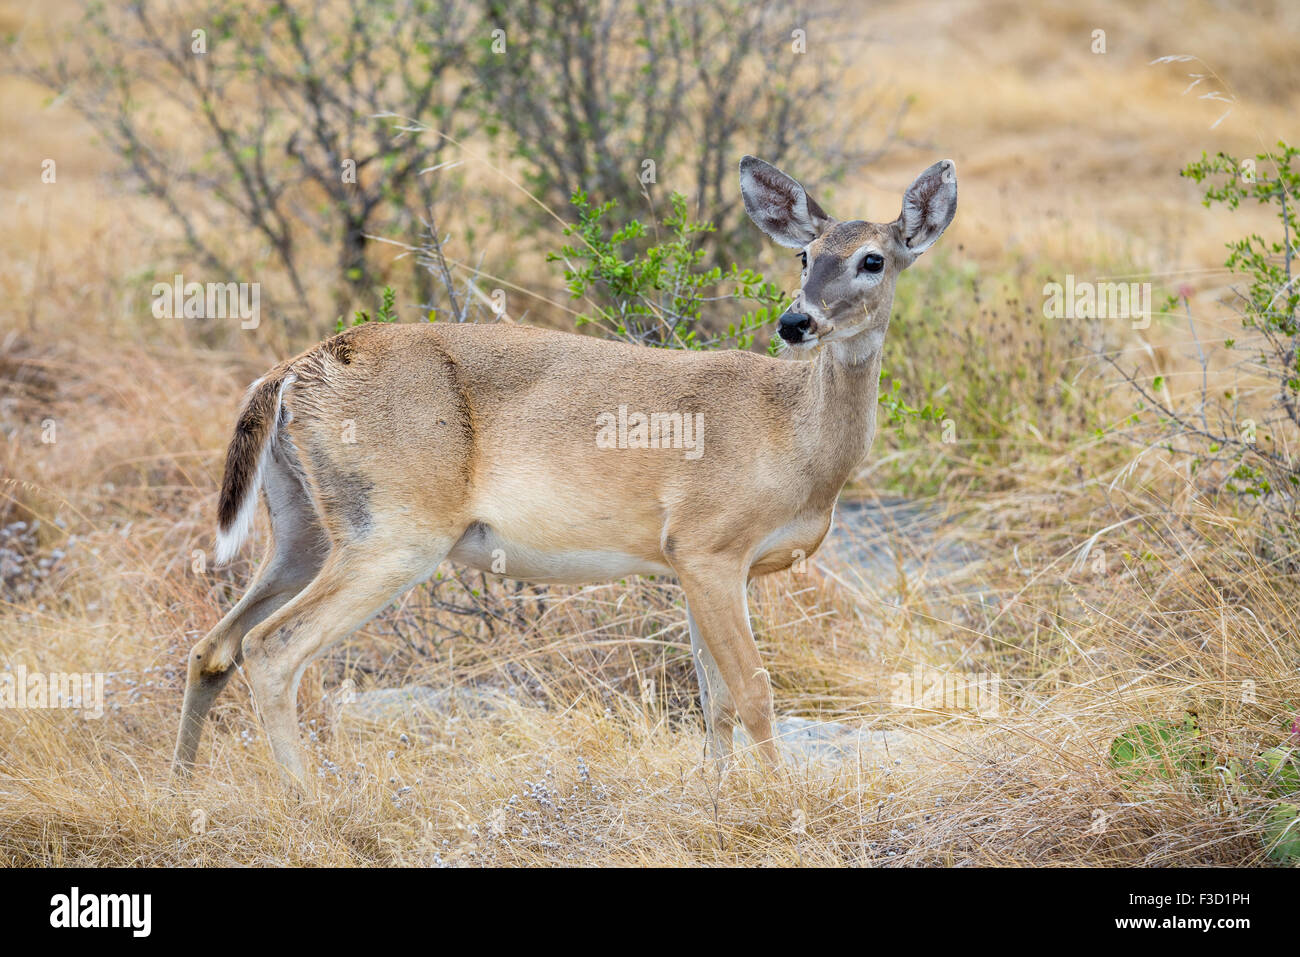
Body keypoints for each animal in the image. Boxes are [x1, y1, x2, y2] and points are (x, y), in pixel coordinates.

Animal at [172, 156, 957, 788]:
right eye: (804, 256)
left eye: (873, 259)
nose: (797, 322)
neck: (794, 435)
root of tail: (290, 372)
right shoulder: (708, 546)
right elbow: (755, 692)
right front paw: (784, 804)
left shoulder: (698, 565)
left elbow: (715, 701)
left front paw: (716, 797)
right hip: (394, 532)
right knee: (271, 649)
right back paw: (311, 802)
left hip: (305, 529)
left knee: (214, 645)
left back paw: (184, 791)